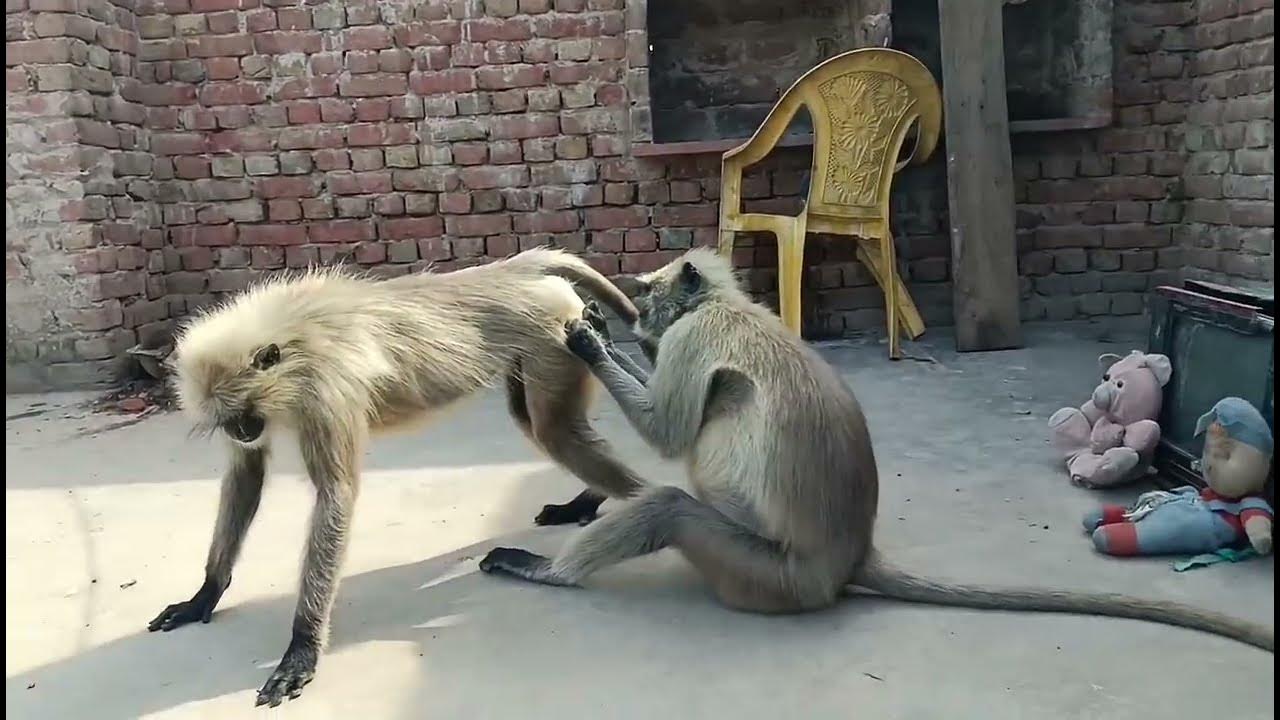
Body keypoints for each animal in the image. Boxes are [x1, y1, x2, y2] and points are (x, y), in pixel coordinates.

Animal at [147, 248, 660, 707]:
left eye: (245, 414)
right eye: (231, 422)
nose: (242, 431)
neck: (293, 335)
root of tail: (513, 271)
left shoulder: (324, 389)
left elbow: (335, 495)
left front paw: (301, 647)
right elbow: (247, 473)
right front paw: (205, 594)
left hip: (553, 337)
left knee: (556, 433)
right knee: (537, 422)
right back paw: (591, 500)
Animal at [480, 247, 1274, 653]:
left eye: (647, 298)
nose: (636, 313)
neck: (724, 307)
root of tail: (851, 555)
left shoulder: (695, 337)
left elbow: (671, 434)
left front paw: (590, 339)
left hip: (769, 576)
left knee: (671, 508)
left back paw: (548, 572)